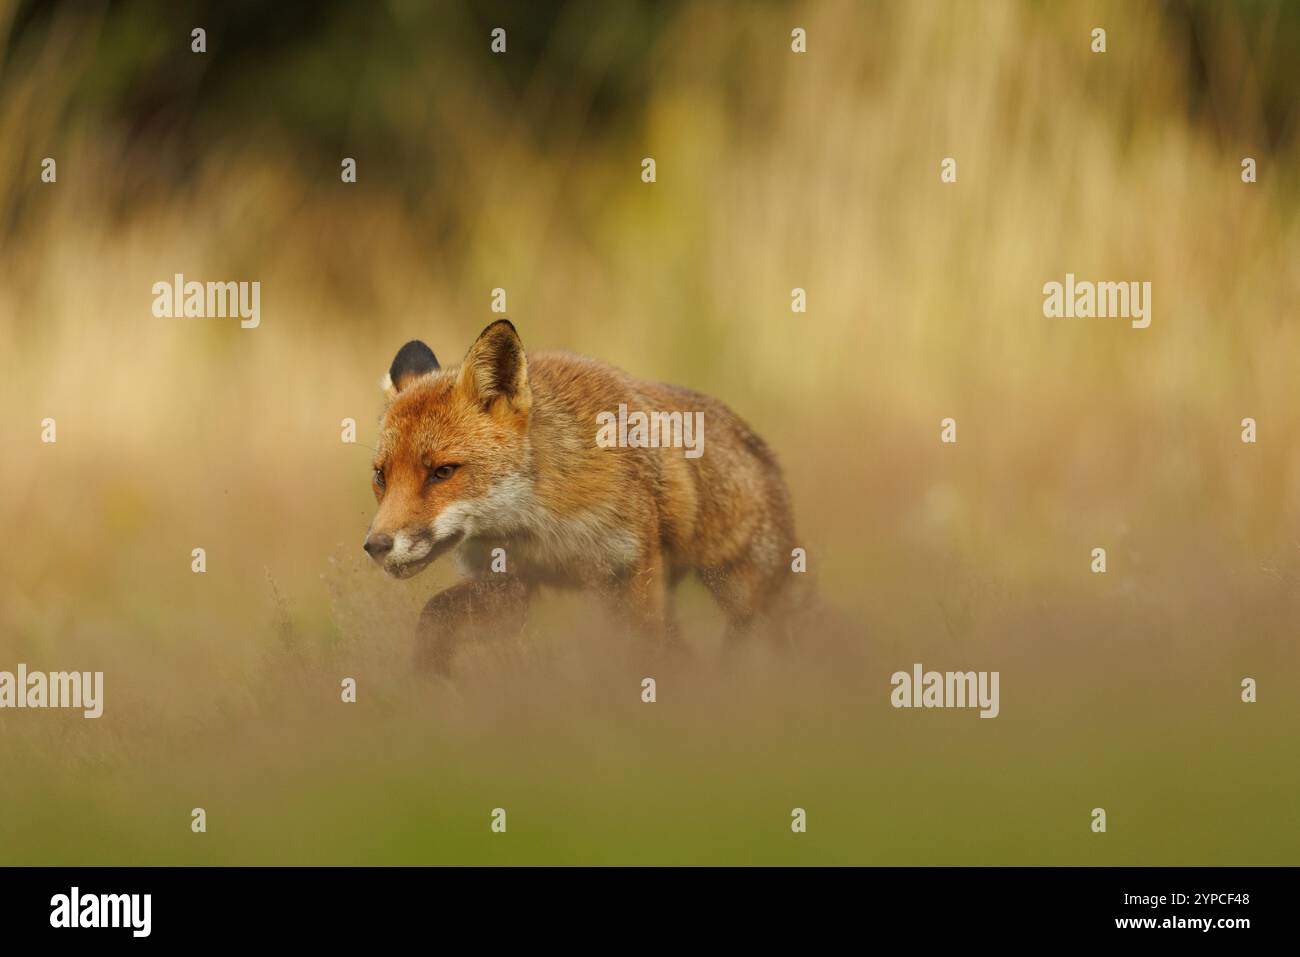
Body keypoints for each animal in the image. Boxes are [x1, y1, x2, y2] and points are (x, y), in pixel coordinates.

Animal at [363, 319, 798, 674]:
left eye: (443, 472)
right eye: (381, 477)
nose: (376, 546)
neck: (535, 526)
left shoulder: (630, 573)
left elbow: (639, 659)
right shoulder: (507, 589)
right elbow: (432, 616)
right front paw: (434, 679)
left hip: (743, 598)